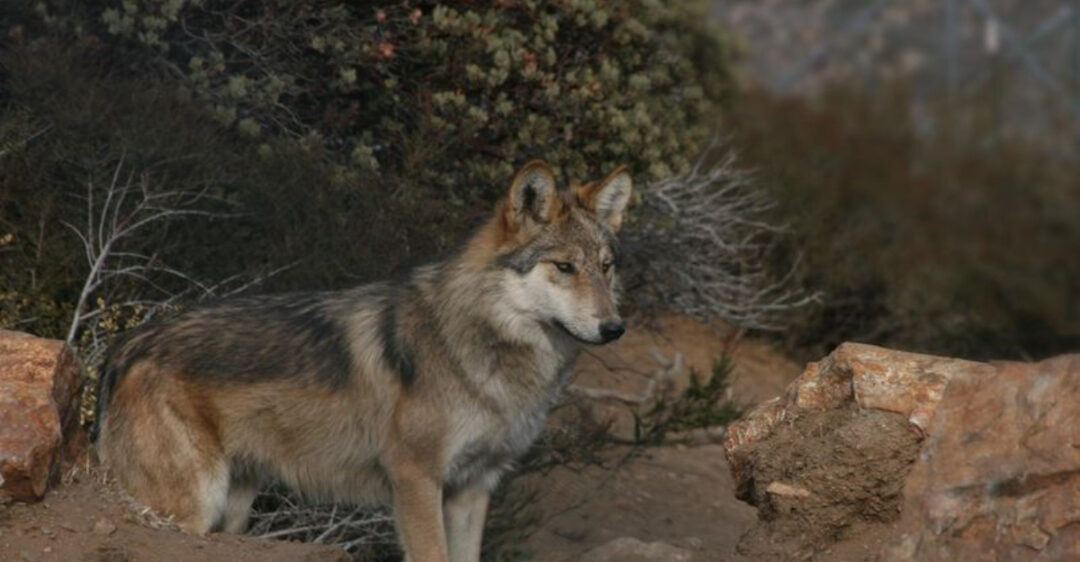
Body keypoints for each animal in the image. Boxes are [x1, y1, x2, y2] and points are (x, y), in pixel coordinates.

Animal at [93, 161, 633, 562]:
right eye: (564, 267)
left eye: (606, 268)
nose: (615, 328)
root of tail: (125, 346)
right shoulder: (415, 478)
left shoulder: (474, 488)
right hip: (189, 507)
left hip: (234, 507)